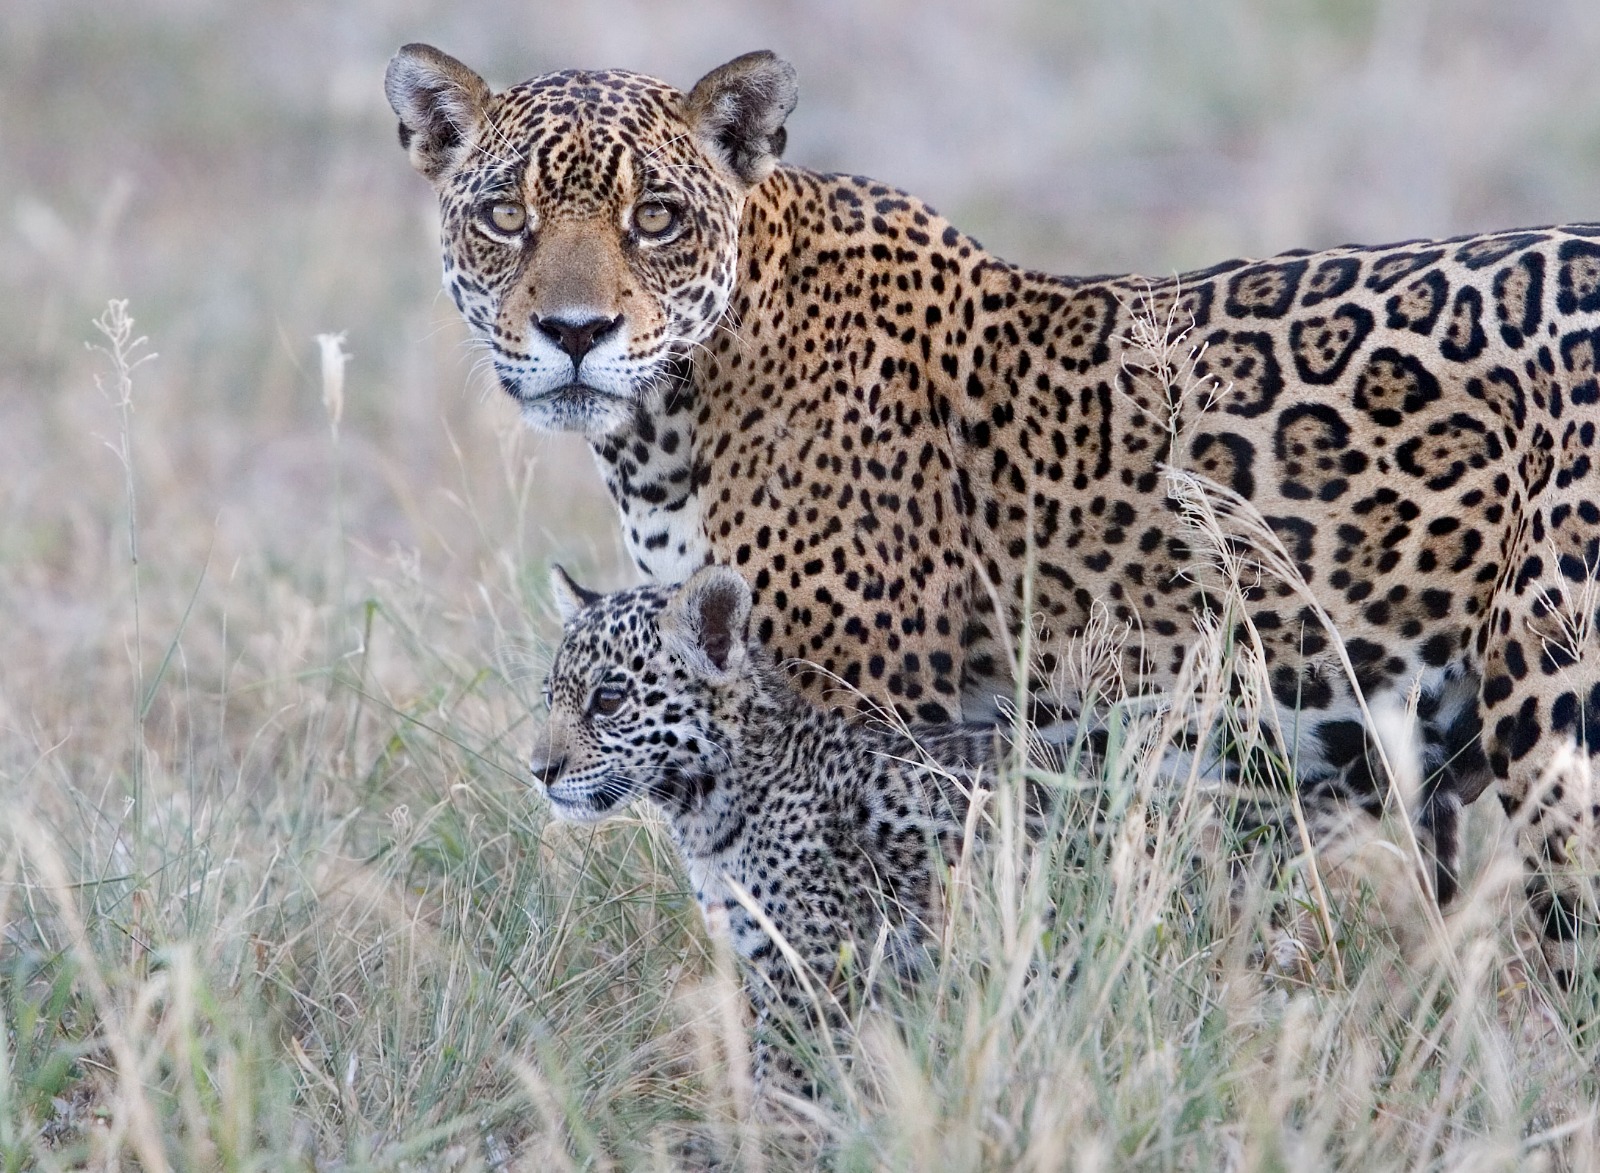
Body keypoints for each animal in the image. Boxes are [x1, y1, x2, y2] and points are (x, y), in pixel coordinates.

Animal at [386, 45, 1600, 977]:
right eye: (504, 217)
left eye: (656, 219)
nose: (574, 332)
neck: (666, 421)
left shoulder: (855, 716)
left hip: (1557, 709)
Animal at [531, 562, 1034, 1103]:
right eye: (550, 698)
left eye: (608, 699)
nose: (539, 771)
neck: (703, 817)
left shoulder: (809, 967)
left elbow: (781, 1077)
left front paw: (771, 1124)